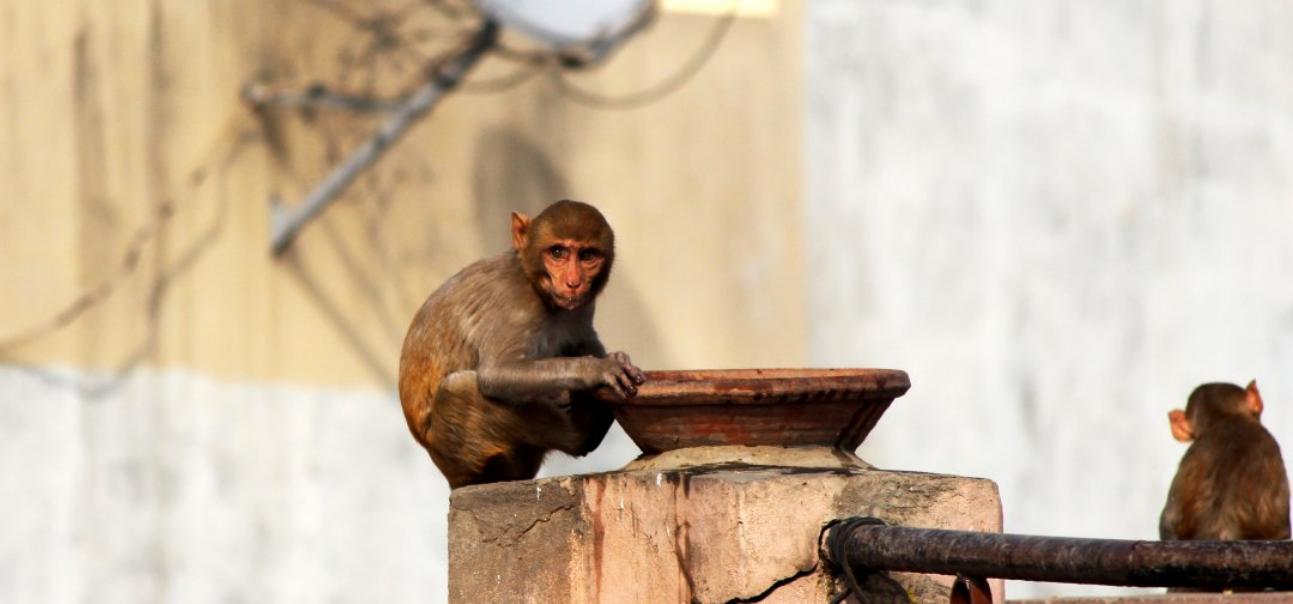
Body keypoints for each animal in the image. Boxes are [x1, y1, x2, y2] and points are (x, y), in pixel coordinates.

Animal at [398, 200, 647, 488]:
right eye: (558, 252)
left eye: (587, 255)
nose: (573, 283)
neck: (535, 284)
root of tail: (451, 476)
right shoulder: (514, 302)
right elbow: (496, 373)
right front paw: (597, 369)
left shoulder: (581, 308)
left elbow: (584, 341)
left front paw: (614, 358)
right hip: (461, 451)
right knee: (458, 388)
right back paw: (584, 431)